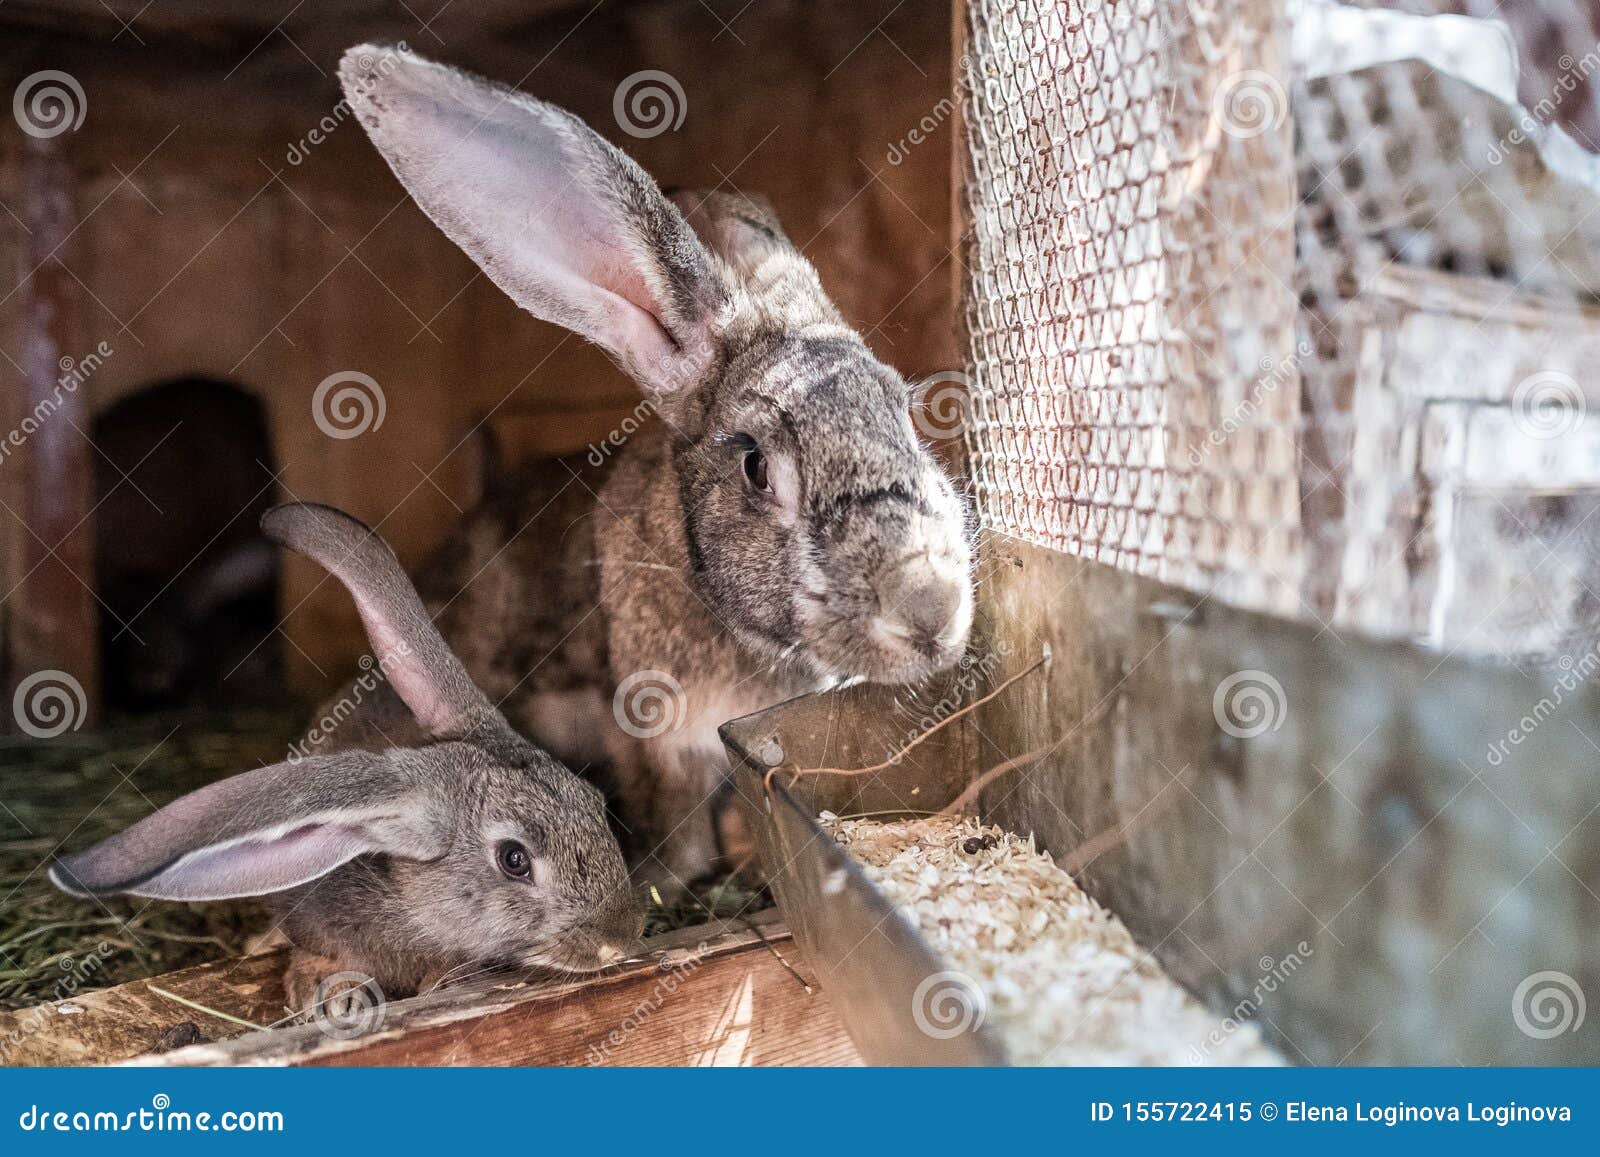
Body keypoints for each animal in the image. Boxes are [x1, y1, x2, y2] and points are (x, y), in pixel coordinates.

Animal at [339, 45, 975, 894]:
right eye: (755, 466)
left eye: (903, 409)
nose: (930, 607)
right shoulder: (655, 731)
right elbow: (678, 831)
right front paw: (665, 880)